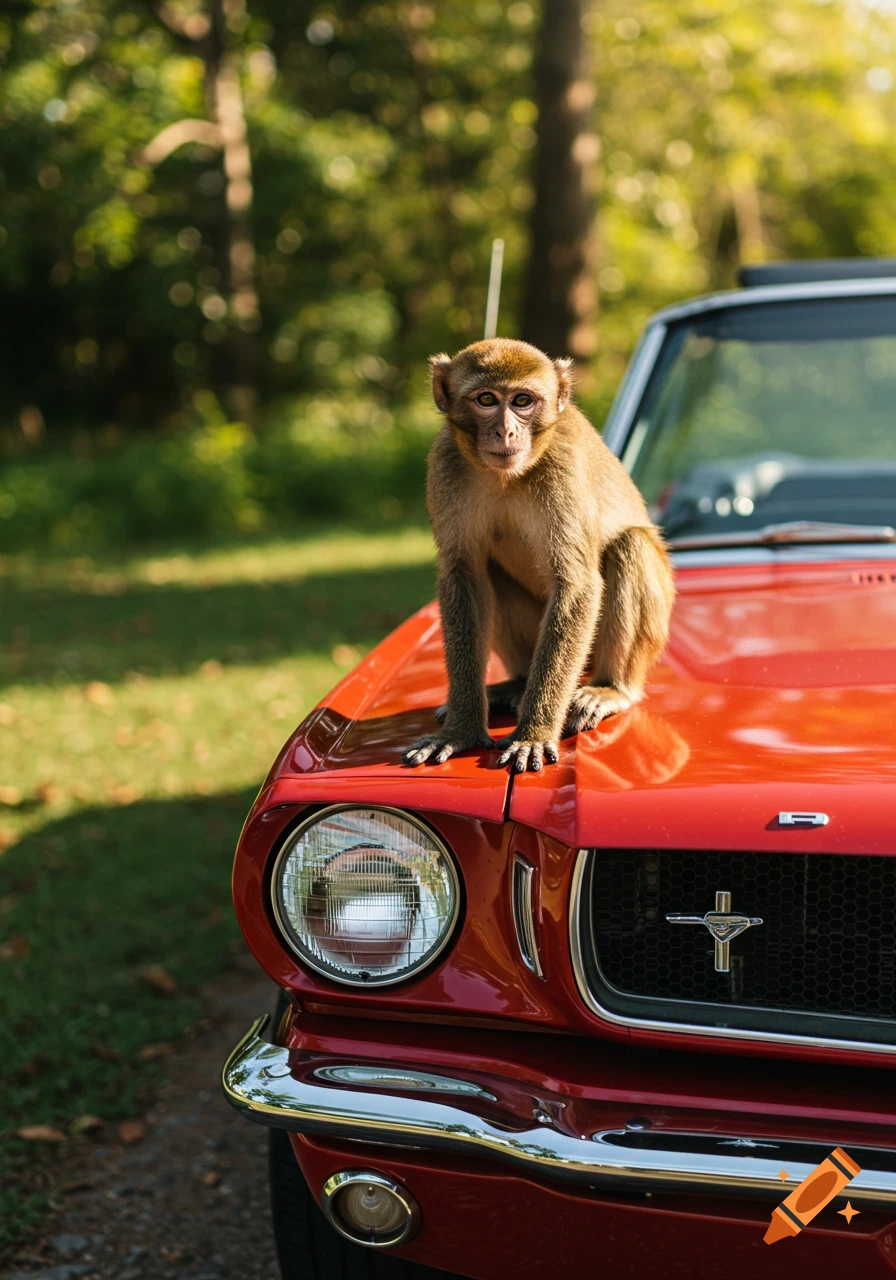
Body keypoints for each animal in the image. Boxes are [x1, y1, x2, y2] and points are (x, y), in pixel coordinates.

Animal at [401, 337, 675, 774]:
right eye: (486, 399)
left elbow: (576, 586)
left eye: (522, 400)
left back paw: (610, 689)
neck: (505, 477)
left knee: (629, 545)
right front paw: (461, 730)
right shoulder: (445, 463)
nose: (506, 430)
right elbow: (464, 576)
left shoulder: (563, 468)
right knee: (490, 574)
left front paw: (533, 734)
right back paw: (513, 686)